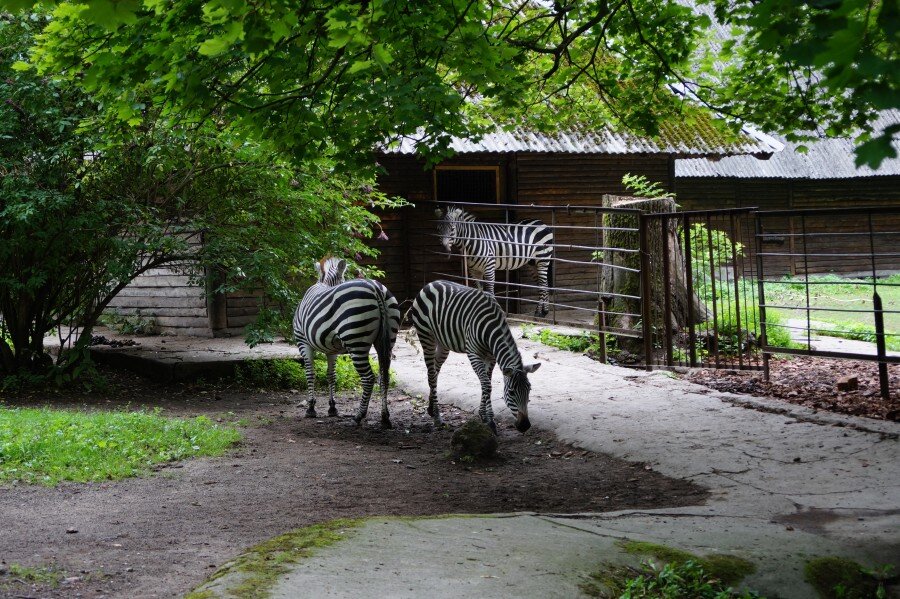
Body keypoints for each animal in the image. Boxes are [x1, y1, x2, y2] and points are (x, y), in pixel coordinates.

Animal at [294, 256, 400, 426]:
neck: (324, 284)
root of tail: (375, 288)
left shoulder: (302, 341)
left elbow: (310, 373)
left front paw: (310, 408)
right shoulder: (331, 349)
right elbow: (331, 375)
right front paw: (332, 408)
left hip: (356, 342)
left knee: (368, 378)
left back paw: (358, 416)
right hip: (387, 340)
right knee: (384, 376)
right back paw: (385, 417)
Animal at [410, 278, 540, 434]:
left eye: (529, 390)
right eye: (512, 392)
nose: (525, 426)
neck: (491, 329)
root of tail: (430, 283)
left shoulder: (491, 356)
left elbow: (486, 382)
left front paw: (484, 416)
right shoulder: (473, 354)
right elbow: (487, 385)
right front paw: (490, 421)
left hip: (443, 343)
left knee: (435, 372)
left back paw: (431, 408)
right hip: (426, 335)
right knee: (430, 373)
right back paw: (437, 418)